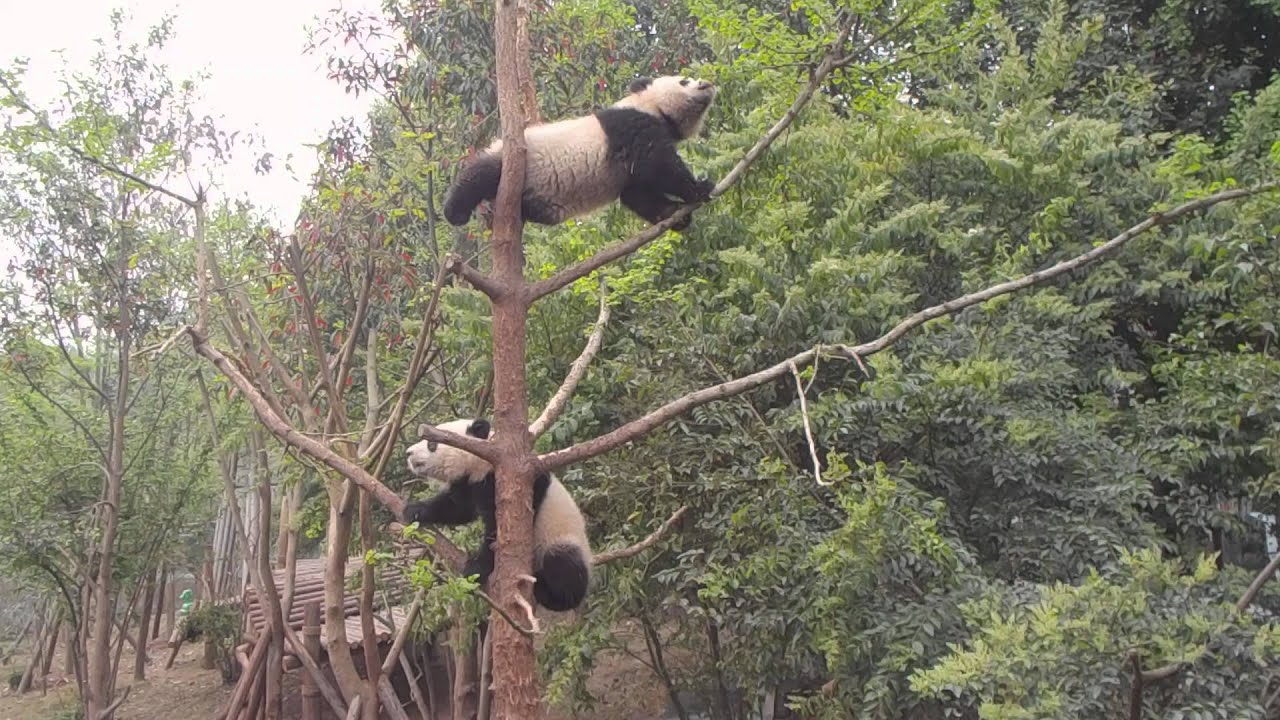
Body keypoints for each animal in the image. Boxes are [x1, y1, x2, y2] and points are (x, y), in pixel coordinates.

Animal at [403, 417, 591, 612]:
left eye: (431, 444)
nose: (408, 453)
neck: (482, 464)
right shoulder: (471, 482)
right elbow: (457, 508)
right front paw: (414, 510)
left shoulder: (513, 482)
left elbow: (496, 531)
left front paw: (477, 567)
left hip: (560, 537)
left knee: (563, 565)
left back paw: (551, 594)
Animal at [442, 75, 718, 232]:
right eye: (684, 80)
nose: (706, 83)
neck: (650, 106)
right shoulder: (629, 124)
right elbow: (655, 163)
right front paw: (699, 188)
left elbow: (636, 193)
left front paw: (673, 215)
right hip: (517, 157)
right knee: (479, 174)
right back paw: (456, 212)